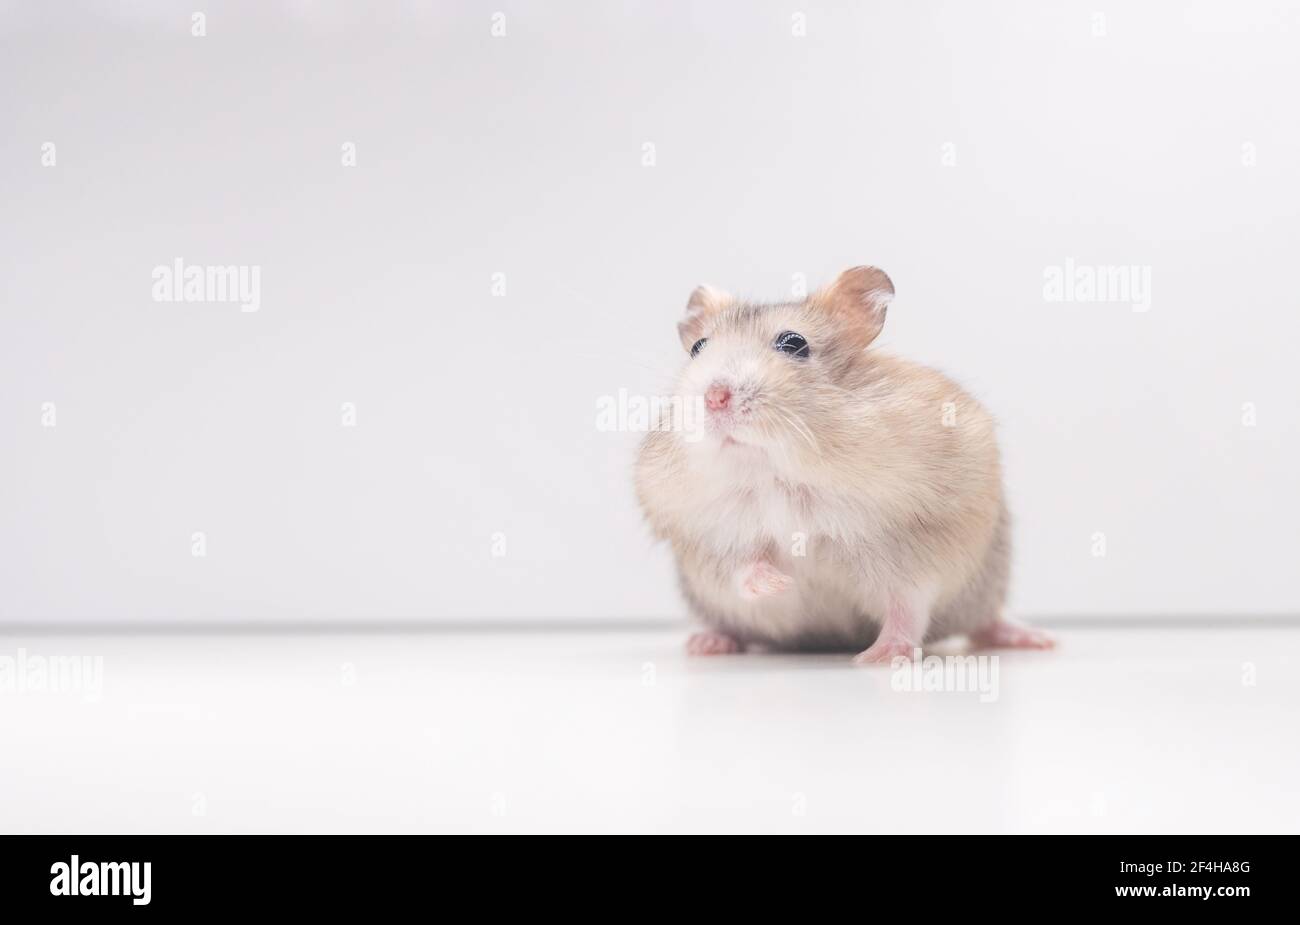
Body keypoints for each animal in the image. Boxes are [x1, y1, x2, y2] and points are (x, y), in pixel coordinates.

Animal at [635, 266, 1054, 664]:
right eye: (698, 347)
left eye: (794, 343)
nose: (715, 398)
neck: (776, 474)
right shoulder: (711, 539)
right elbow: (742, 569)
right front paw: (779, 584)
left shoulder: (914, 552)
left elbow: (908, 607)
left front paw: (880, 658)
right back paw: (707, 642)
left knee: (984, 620)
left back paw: (1038, 639)